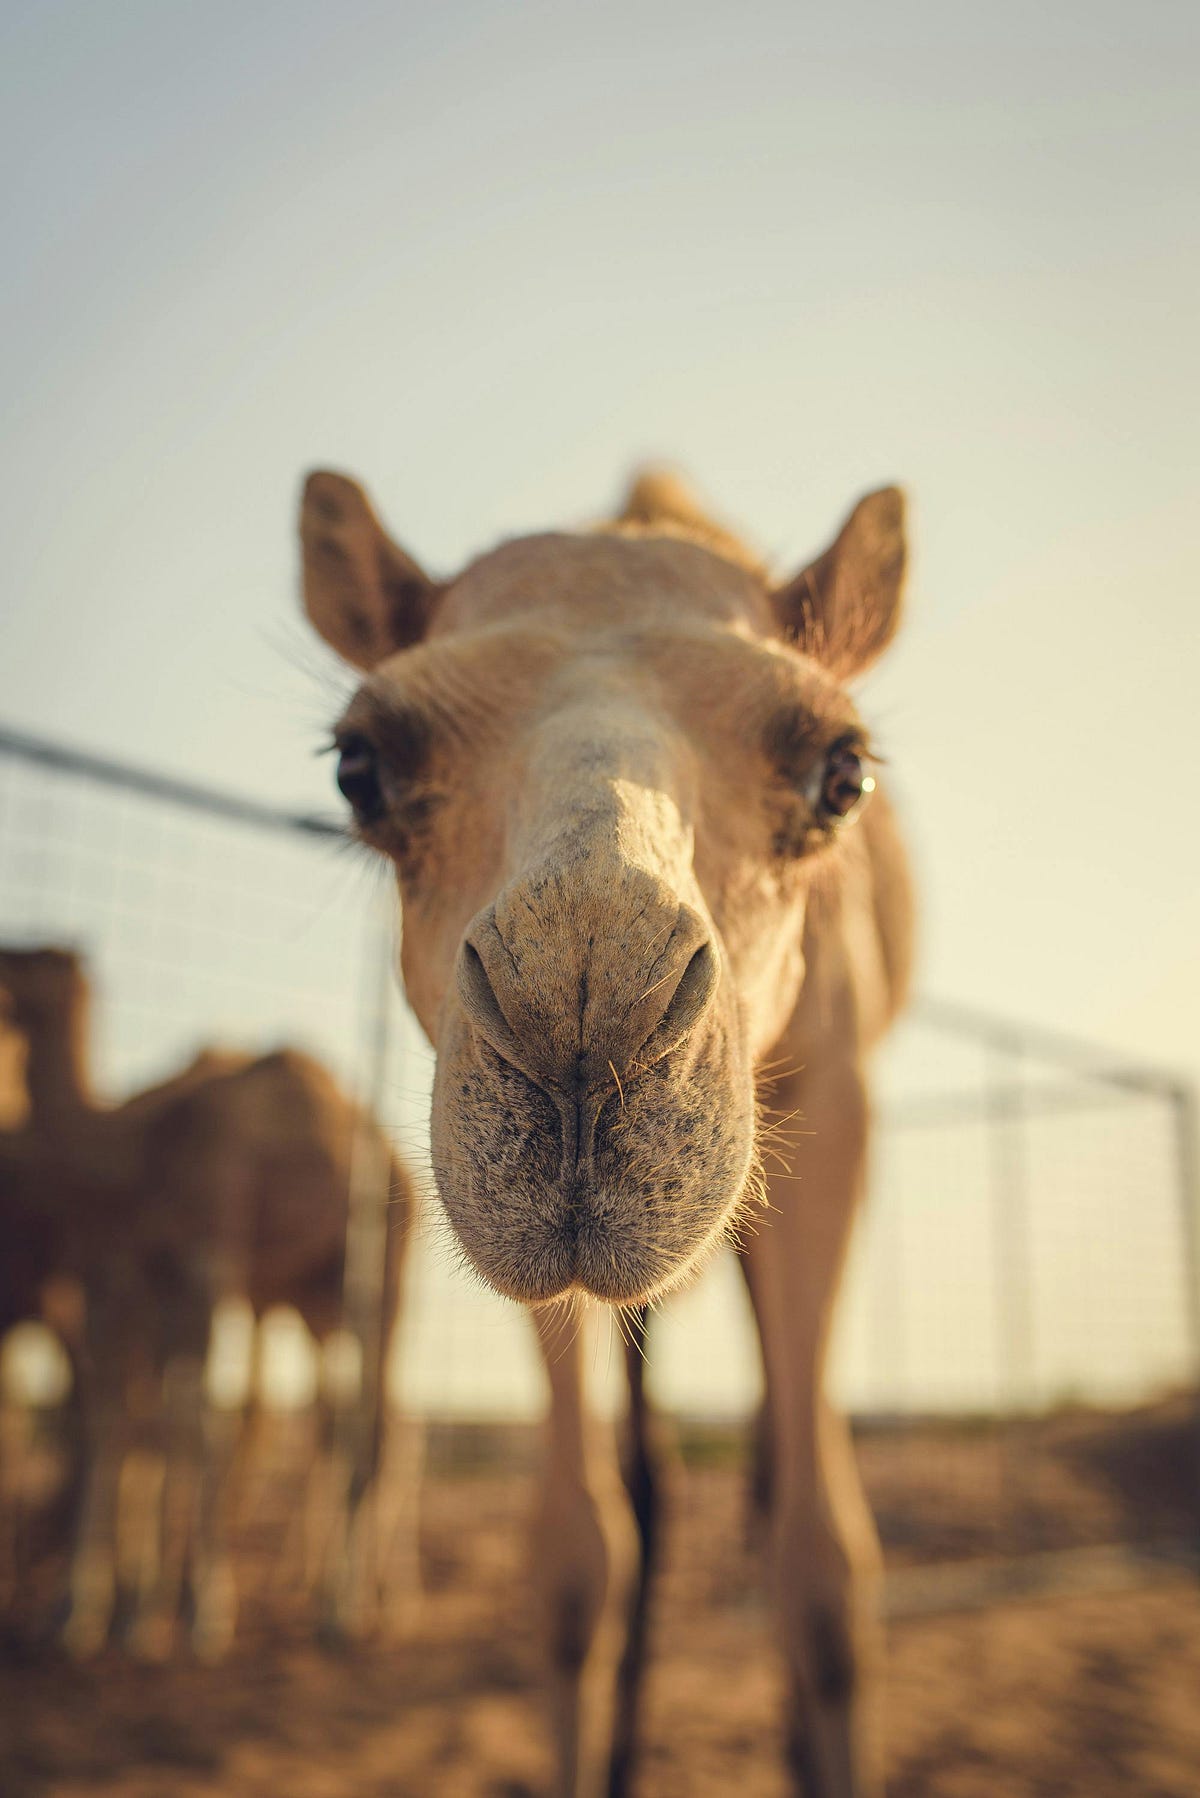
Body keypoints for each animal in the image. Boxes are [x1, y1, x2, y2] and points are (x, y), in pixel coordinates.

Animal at [0, 946, 416, 1658]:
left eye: (18, 964)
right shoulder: (138, 1275)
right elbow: (132, 1421)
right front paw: (91, 1614)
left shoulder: (200, 1255)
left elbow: (193, 1424)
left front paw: (193, 1613)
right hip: (311, 1293)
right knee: (338, 1420)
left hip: (382, 1264)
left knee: (373, 1424)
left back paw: (345, 1610)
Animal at [298, 463, 914, 1796]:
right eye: (360, 769)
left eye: (840, 772)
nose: (581, 1014)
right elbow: (578, 1560)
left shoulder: (837, 1098)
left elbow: (827, 1567)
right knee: (650, 1473)